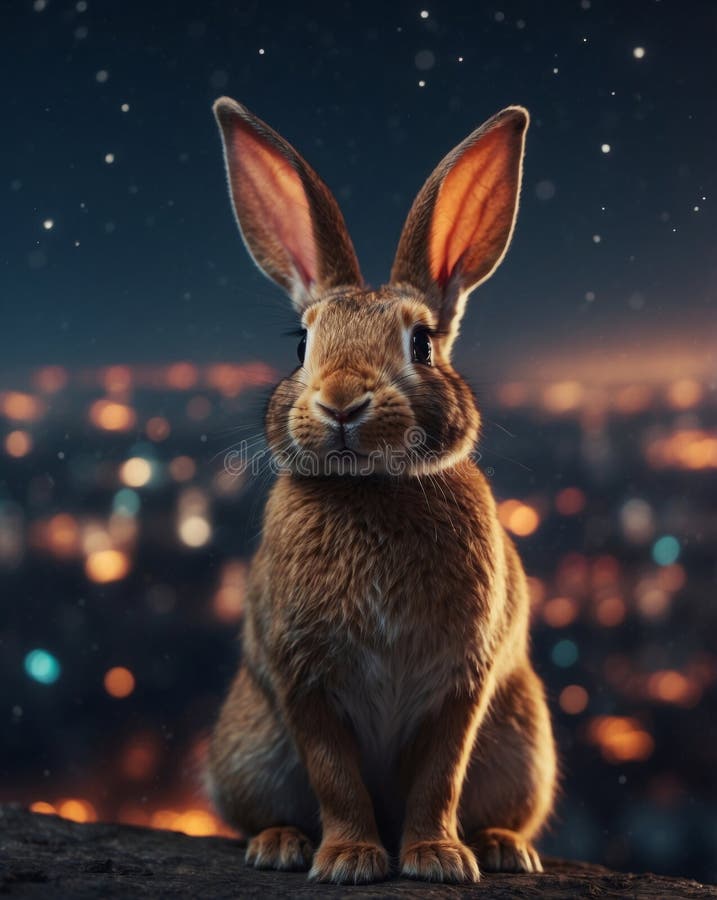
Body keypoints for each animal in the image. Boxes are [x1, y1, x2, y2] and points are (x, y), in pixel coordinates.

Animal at [206, 96, 557, 885]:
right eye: (301, 345)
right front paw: (349, 860)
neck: (370, 488)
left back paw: (503, 847)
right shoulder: (302, 680)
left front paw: (435, 858)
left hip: (523, 747)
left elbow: (439, 775)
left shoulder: (461, 681)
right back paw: (278, 843)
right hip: (248, 749)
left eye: (421, 344)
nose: (341, 403)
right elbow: (334, 774)